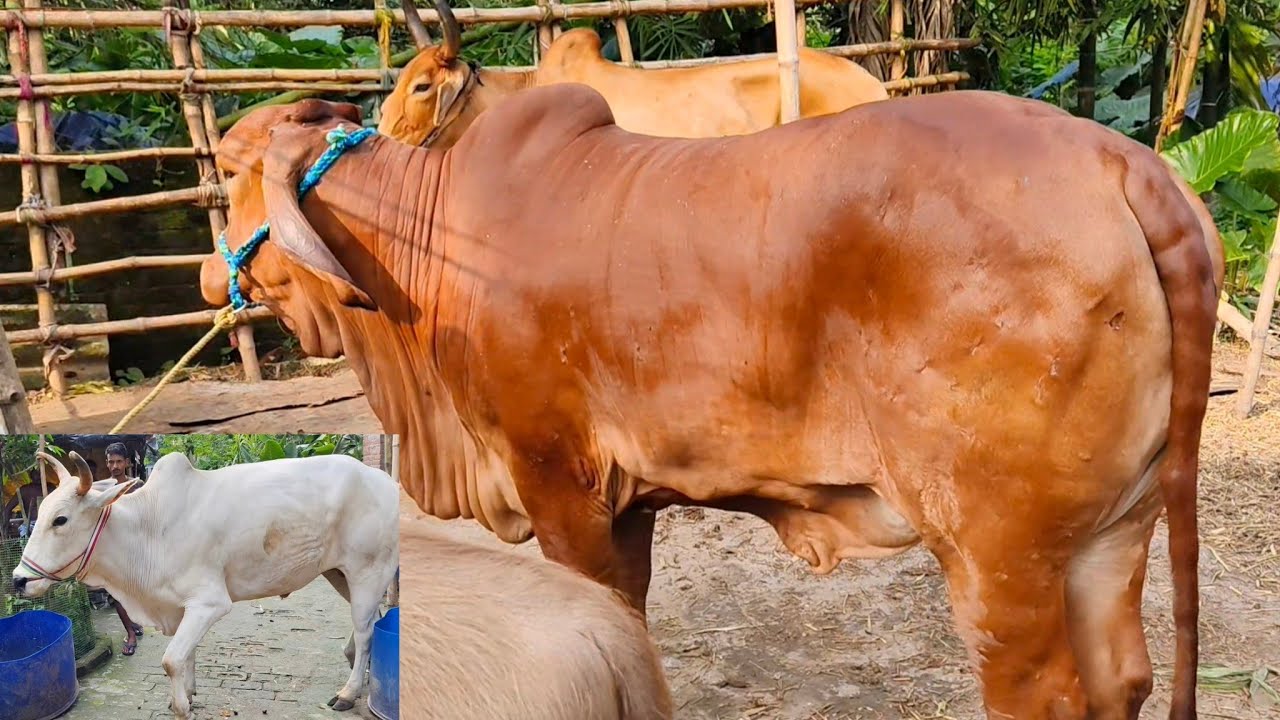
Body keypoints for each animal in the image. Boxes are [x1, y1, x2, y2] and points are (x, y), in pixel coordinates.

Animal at [11, 450, 399, 720]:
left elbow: (172, 659)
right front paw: (189, 692)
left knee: (366, 630)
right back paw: (356, 666)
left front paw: (181, 706)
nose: (18, 580)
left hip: (368, 570)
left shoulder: (210, 603)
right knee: (372, 620)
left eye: (60, 520)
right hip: (340, 573)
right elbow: (186, 656)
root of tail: (385, 481)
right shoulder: (184, 607)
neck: (148, 531)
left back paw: (348, 692)